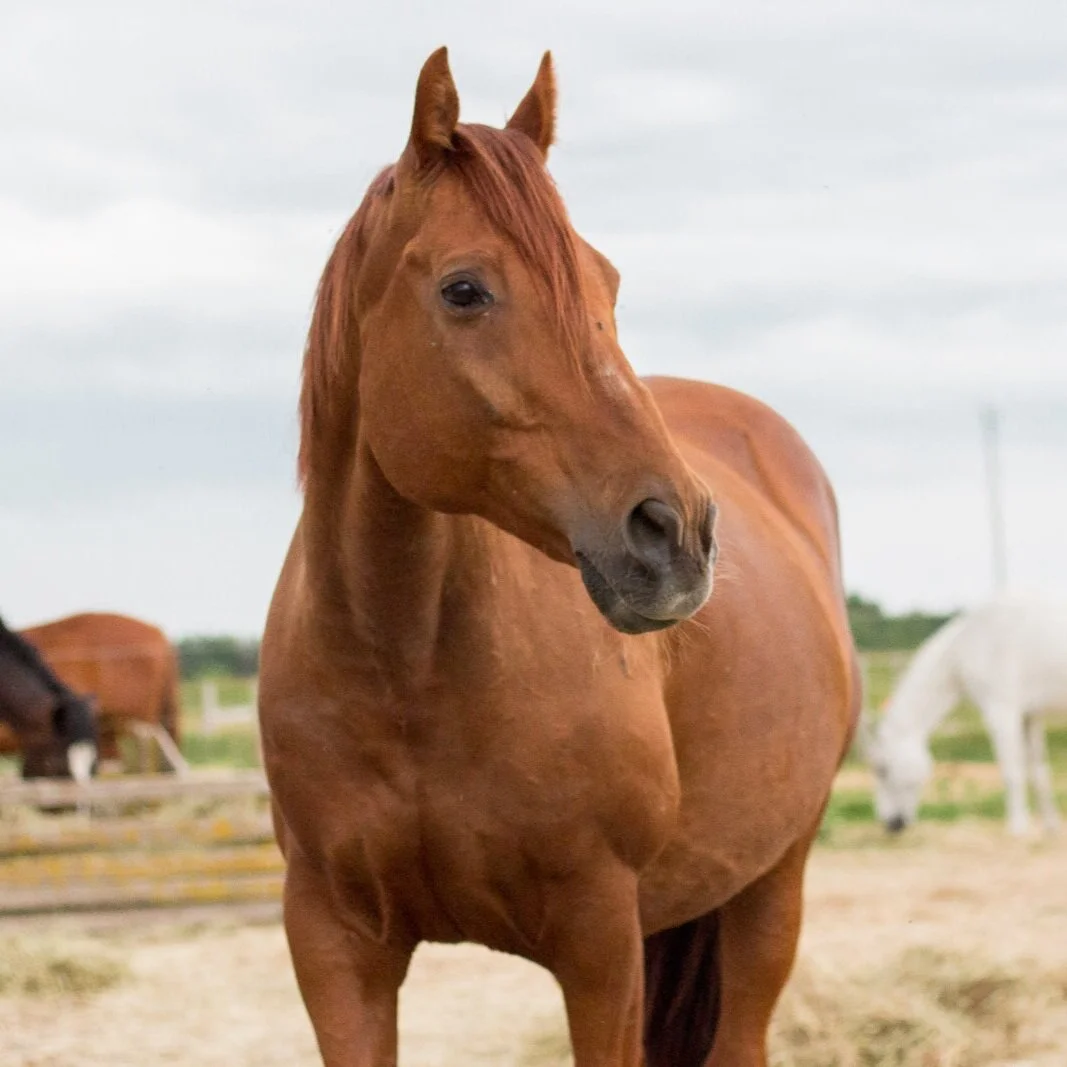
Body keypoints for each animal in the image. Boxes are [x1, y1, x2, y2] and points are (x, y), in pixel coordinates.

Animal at [259, 49, 859, 1067]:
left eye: (605, 281)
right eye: (464, 289)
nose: (677, 534)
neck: (405, 670)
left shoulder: (599, 942)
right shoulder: (334, 947)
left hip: (772, 883)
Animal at [862, 596, 1067, 837]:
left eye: (882, 770)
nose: (892, 824)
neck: (965, 645)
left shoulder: (1002, 713)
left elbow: (1012, 772)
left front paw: (1018, 828)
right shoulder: (1029, 716)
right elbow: (1039, 773)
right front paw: (1051, 827)